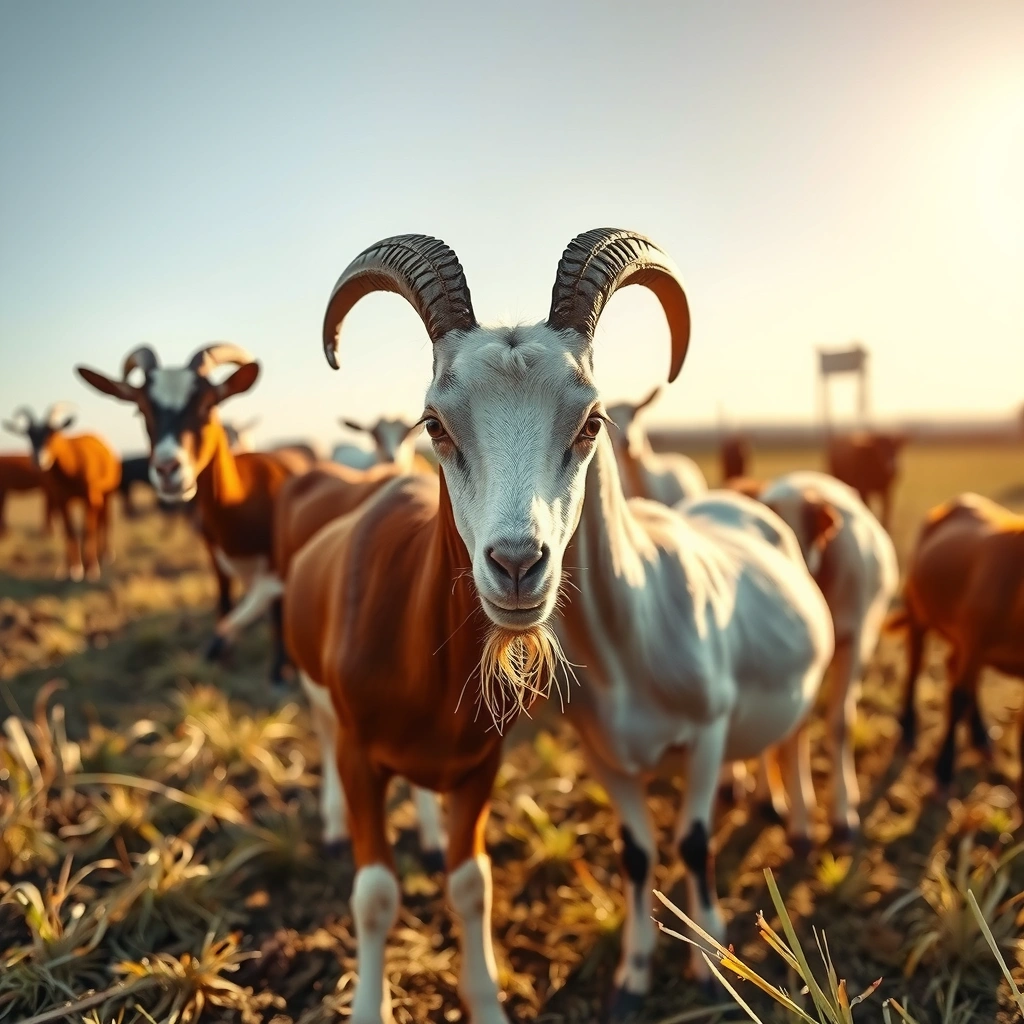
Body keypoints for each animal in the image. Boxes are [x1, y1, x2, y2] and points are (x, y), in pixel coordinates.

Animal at [3, 405, 120, 580]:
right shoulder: (62, 499)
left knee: (103, 522)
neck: (73, 465)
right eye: (29, 435)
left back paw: (104, 555)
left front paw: (91, 569)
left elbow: (88, 530)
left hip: (106, 495)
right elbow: (69, 531)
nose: (39, 460)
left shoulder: (90, 498)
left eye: (53, 432)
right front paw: (75, 569)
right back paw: (68, 567)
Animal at [75, 344, 299, 682]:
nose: (168, 469)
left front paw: (280, 671)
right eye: (142, 409)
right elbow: (224, 603)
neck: (243, 502)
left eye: (208, 404)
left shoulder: (277, 559)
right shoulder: (215, 558)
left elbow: (278, 609)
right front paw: (222, 658)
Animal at [295, 230, 832, 1023]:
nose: (518, 564)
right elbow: (382, 894)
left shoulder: (694, 735)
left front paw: (709, 970)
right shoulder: (590, 756)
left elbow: (686, 843)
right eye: (435, 425)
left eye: (592, 421)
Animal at [891, 493, 1024, 798]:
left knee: (954, 666)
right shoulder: (975, 641)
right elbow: (958, 696)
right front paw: (943, 771)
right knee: (916, 664)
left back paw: (981, 737)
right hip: (918, 611)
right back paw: (908, 731)